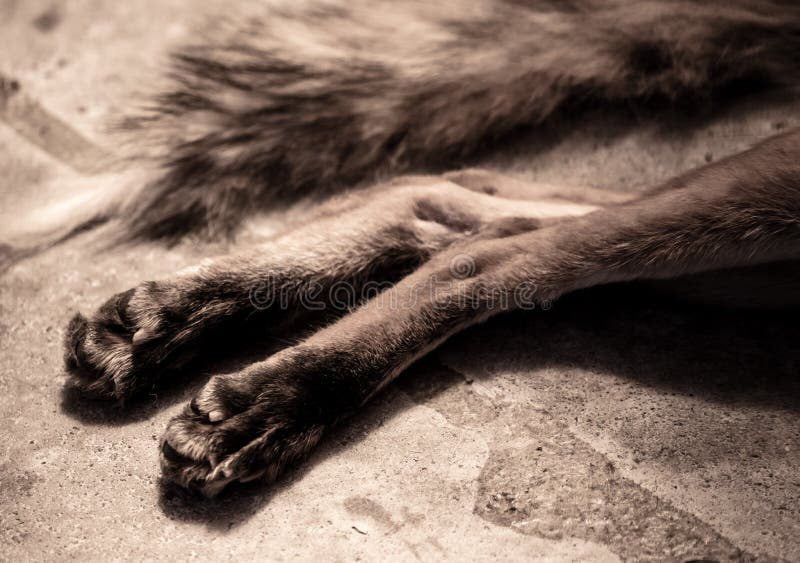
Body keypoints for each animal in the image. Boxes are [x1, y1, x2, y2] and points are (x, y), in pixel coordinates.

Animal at [4, 0, 800, 496]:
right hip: (770, 216)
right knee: (495, 246)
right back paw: (271, 395)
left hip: (759, 262)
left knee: (469, 204)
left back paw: (188, 320)